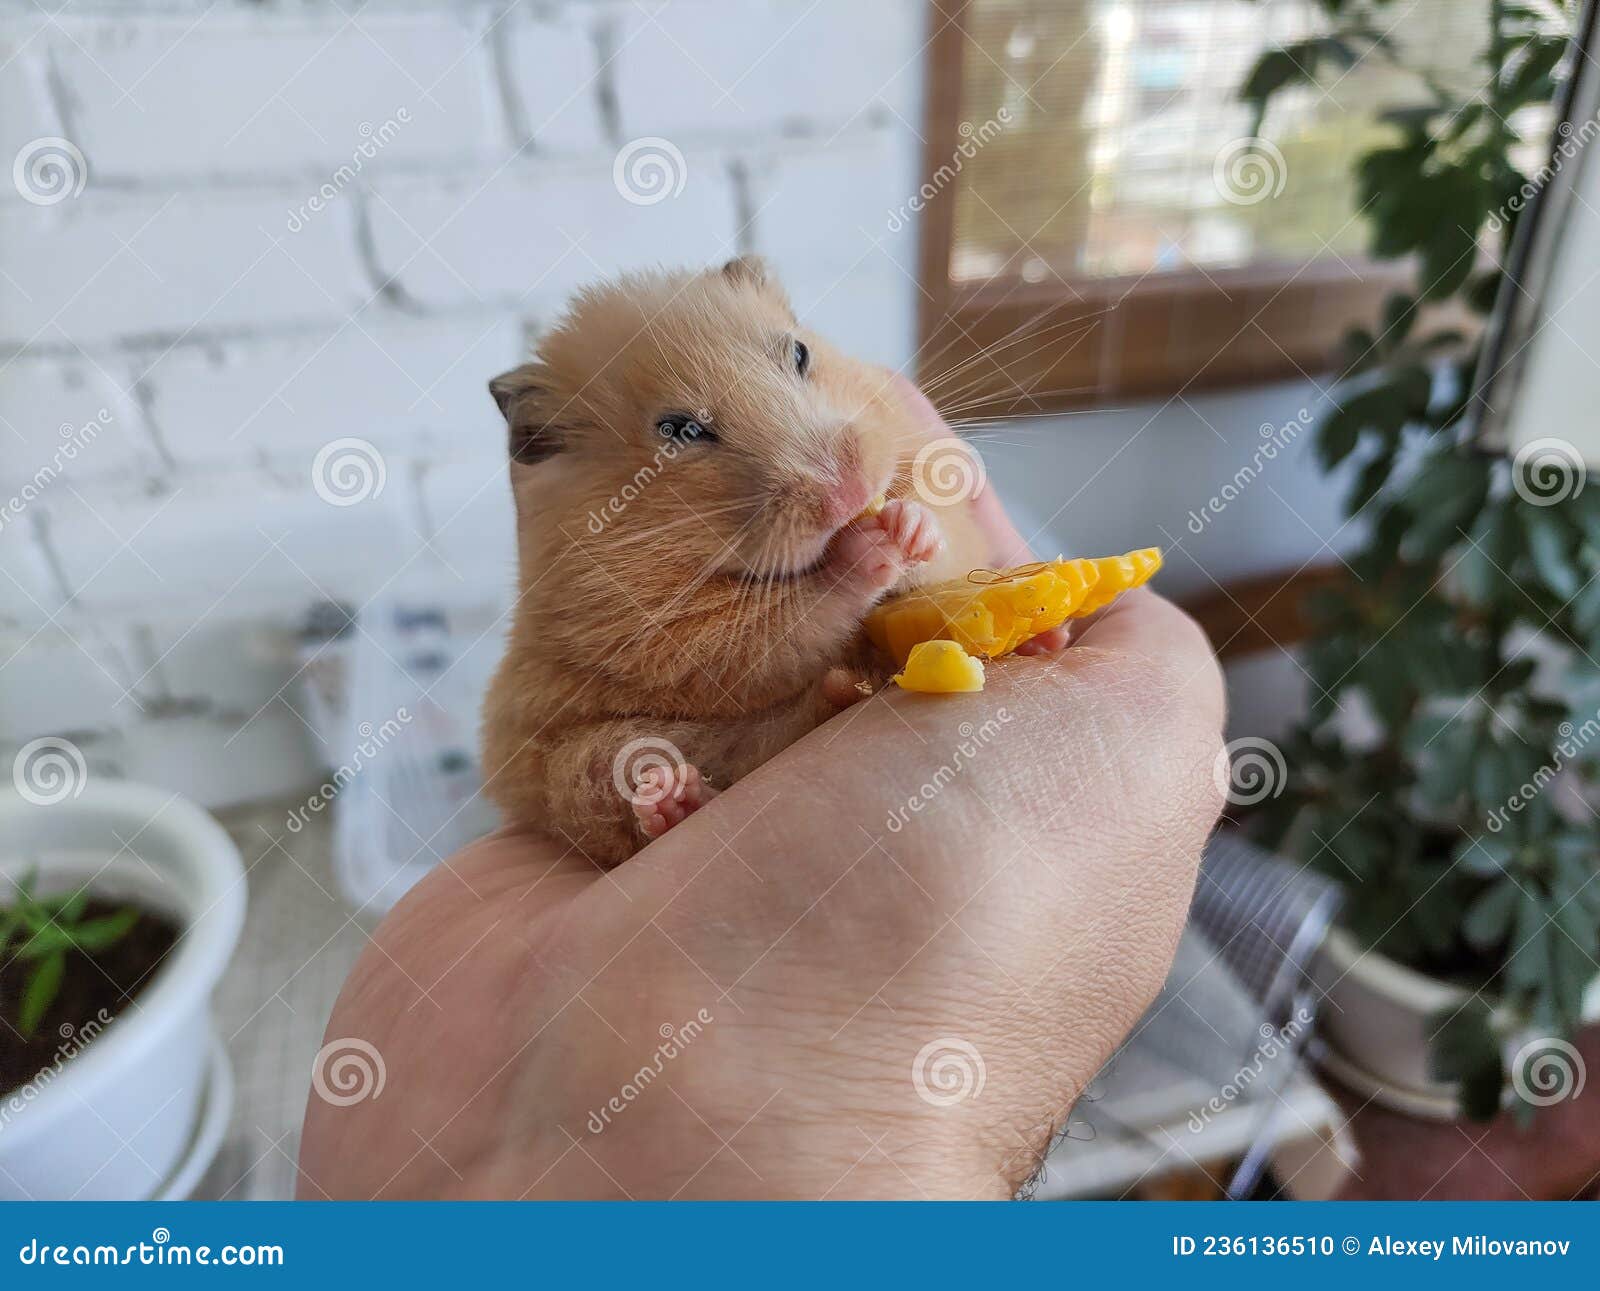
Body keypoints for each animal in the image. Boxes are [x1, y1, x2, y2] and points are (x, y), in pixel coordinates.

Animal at [479, 256, 989, 865]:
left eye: (800, 354)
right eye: (679, 431)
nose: (847, 492)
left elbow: (942, 536)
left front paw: (906, 524)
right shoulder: (651, 631)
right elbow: (777, 627)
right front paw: (865, 549)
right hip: (574, 767)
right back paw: (673, 792)